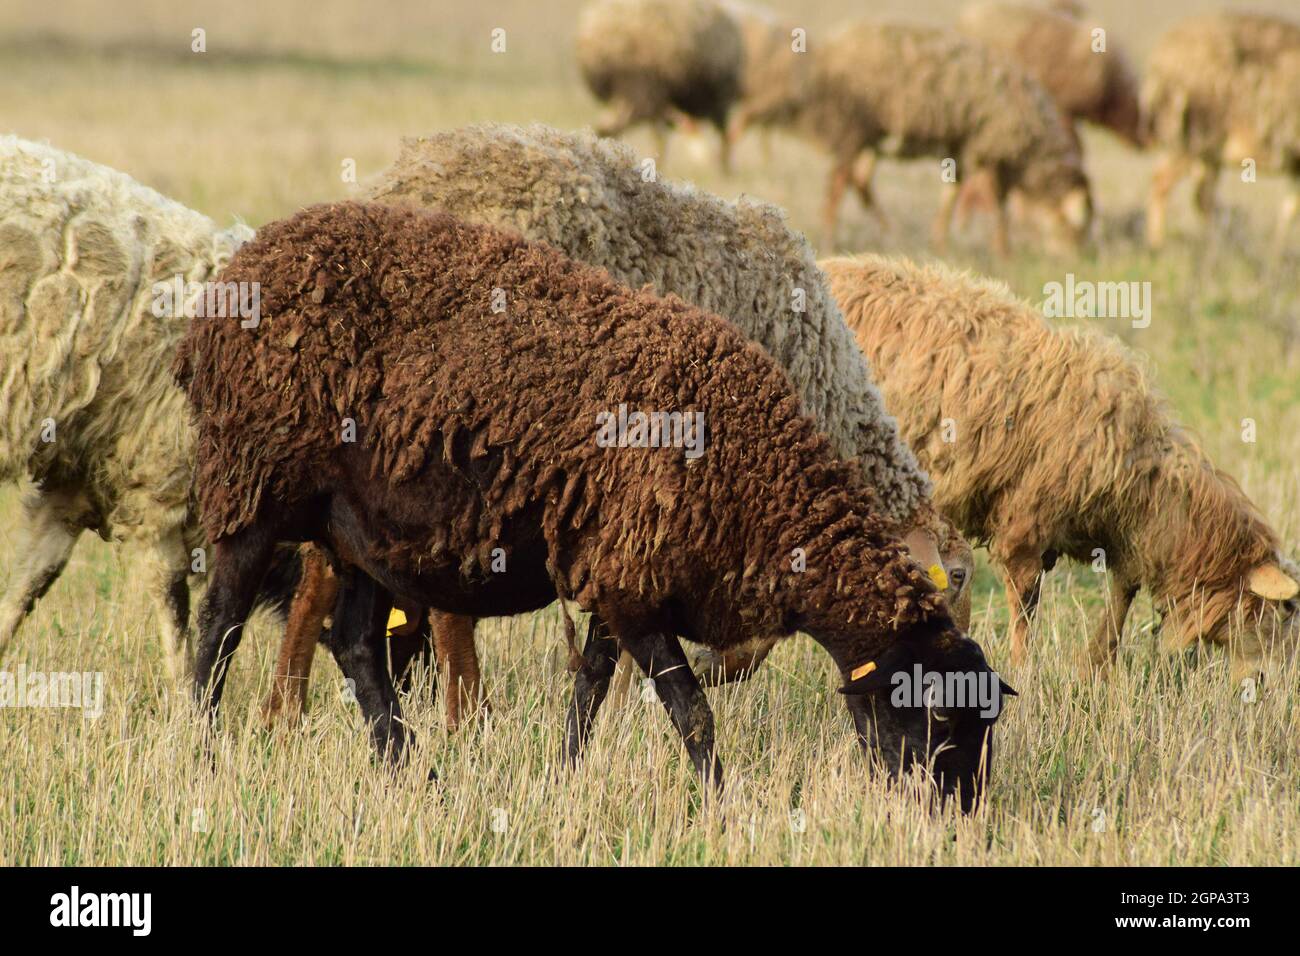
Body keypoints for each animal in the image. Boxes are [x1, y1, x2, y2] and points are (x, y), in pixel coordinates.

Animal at [177, 201, 1014, 809]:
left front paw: (565, 781)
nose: (959, 817)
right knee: (219, 627)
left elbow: (588, 693)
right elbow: (691, 711)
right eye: (935, 716)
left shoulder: (622, 577)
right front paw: (722, 805)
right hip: (255, 485)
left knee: (356, 645)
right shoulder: (635, 591)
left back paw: (414, 778)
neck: (761, 483)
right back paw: (205, 754)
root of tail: (236, 273)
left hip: (360, 531)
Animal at [259, 123, 973, 722]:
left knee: (324, 570)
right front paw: (648, 696)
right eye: (958, 578)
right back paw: (467, 716)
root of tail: (400, 187)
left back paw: (283, 713)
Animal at [731, 20, 1093, 254]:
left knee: (858, 182)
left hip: (867, 136)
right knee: (838, 184)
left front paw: (940, 241)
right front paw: (1003, 251)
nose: (1077, 258)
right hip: (852, 126)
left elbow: (952, 194)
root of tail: (824, 56)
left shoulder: (962, 147)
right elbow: (998, 205)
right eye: (1075, 227)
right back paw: (833, 234)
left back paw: (884, 230)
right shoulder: (988, 149)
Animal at [816, 253, 1299, 685]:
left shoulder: (1112, 534)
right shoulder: (1025, 525)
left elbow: (1122, 593)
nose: (1267, 684)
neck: (1148, 488)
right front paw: (1024, 671)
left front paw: (1097, 666)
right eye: (1285, 612)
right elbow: (1026, 605)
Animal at [1142, 13, 1300, 252]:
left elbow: (1290, 208)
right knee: (1162, 182)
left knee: (1201, 196)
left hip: (1208, 152)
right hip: (1192, 139)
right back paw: (1158, 244)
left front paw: (1277, 250)